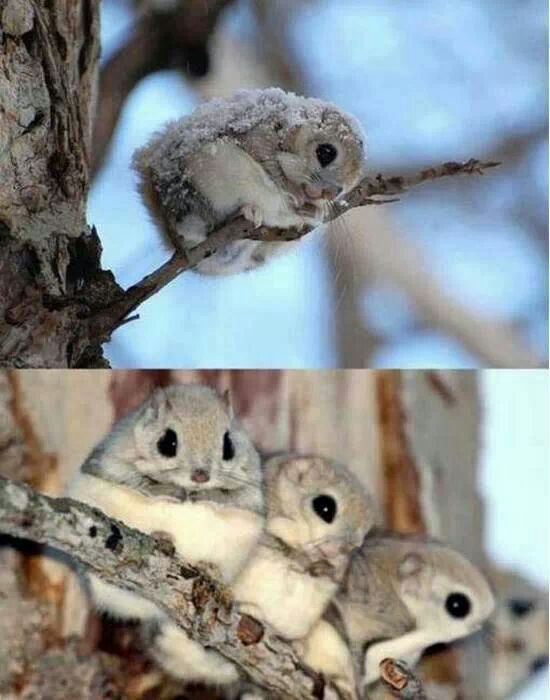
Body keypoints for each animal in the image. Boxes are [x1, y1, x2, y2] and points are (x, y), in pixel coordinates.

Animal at [133, 87, 366, 275]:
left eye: (343, 189)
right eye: (326, 152)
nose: (330, 193)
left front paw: (317, 210)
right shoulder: (259, 137)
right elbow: (271, 169)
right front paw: (294, 197)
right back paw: (248, 211)